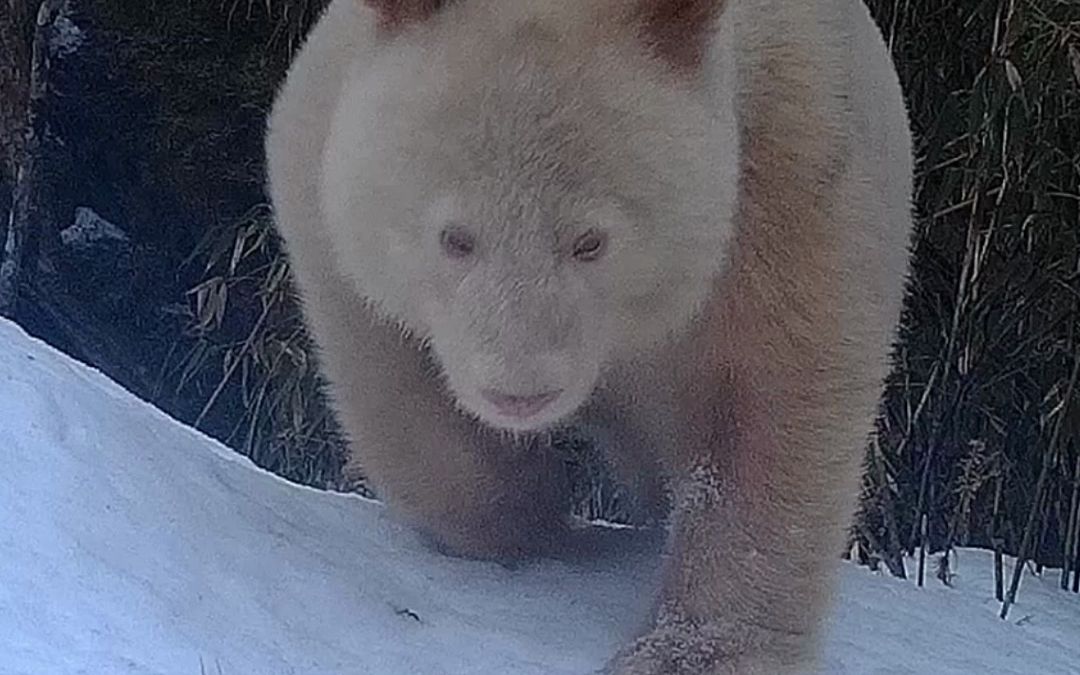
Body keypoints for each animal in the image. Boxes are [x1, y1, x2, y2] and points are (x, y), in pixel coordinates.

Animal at [264, 0, 914, 672]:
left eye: (590, 241)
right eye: (455, 237)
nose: (521, 393)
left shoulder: (793, 176)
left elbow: (775, 407)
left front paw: (689, 651)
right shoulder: (327, 149)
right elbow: (385, 364)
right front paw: (526, 512)